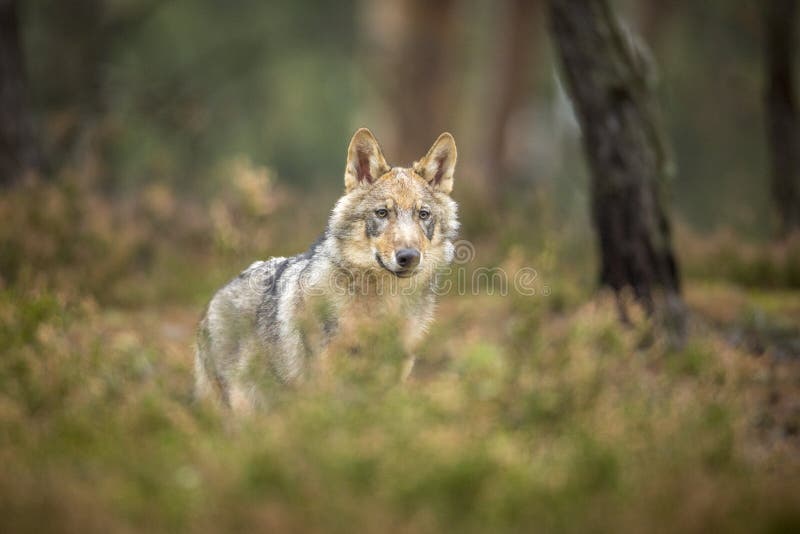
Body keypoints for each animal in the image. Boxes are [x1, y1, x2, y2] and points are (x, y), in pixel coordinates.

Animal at [195, 128, 459, 411]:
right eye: (382, 213)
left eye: (423, 214)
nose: (408, 257)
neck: (383, 308)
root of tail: (213, 300)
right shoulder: (326, 387)